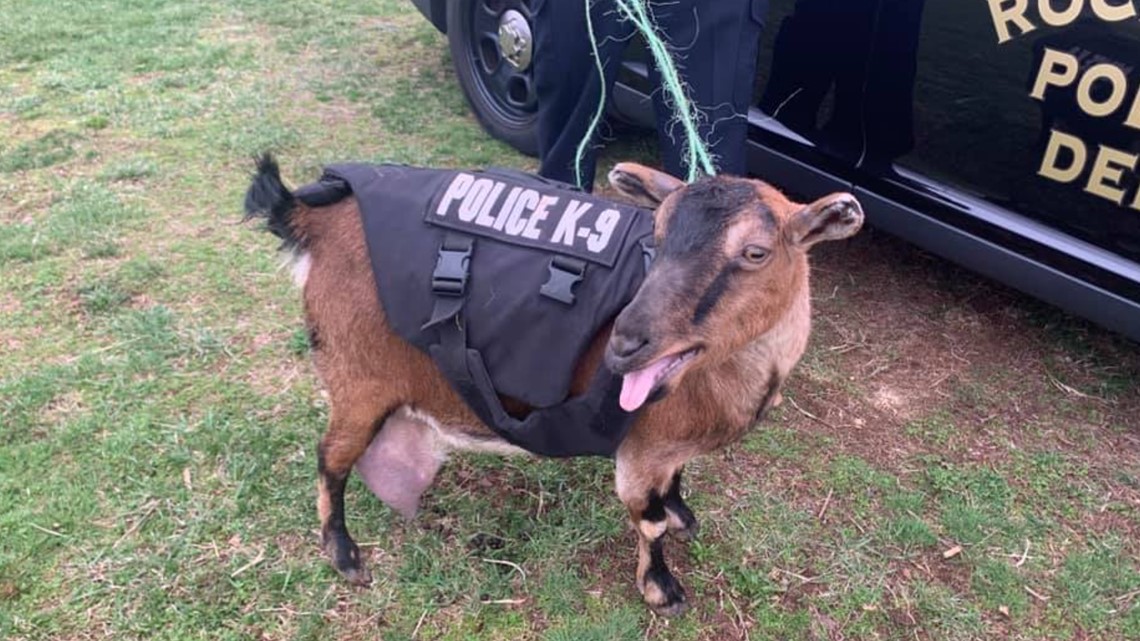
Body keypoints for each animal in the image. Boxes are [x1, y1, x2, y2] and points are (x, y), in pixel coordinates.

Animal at [244, 155, 863, 615]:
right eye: (658, 236)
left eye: (755, 253)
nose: (626, 342)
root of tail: (311, 222)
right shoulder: (642, 448)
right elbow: (649, 519)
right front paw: (663, 591)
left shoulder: (669, 444)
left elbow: (675, 487)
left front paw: (685, 516)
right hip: (358, 375)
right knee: (331, 457)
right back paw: (344, 555)